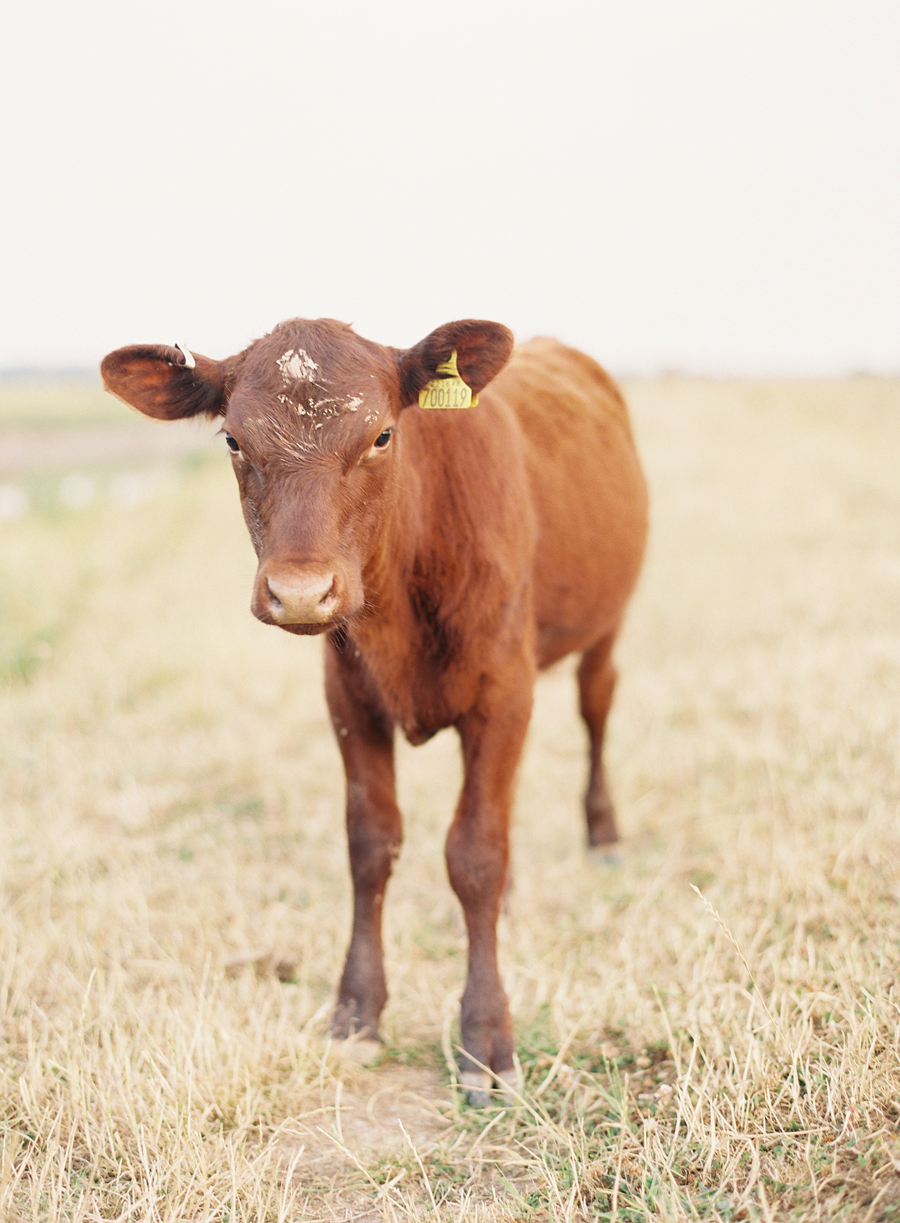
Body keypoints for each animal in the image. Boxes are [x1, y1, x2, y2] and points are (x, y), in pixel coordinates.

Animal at [101, 318, 648, 1103]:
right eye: (233, 439)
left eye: (384, 434)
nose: (300, 593)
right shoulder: (350, 697)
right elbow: (371, 843)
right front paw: (358, 1011)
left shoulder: (503, 692)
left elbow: (475, 852)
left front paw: (487, 1039)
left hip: (605, 625)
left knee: (595, 708)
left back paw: (603, 833)